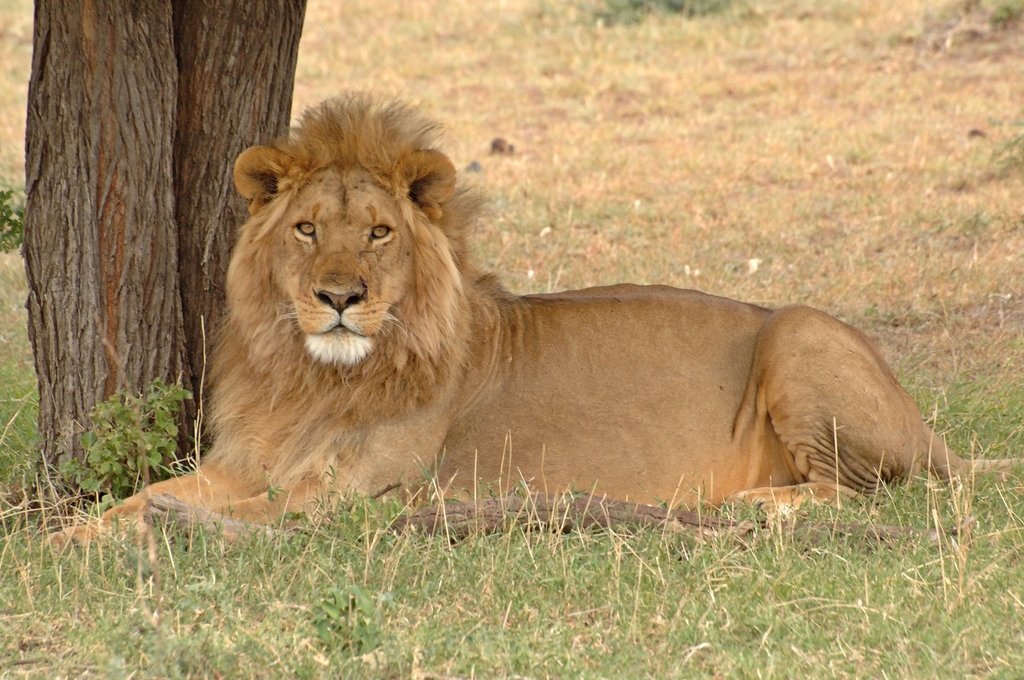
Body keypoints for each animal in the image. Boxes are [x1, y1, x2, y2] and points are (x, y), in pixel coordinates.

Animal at [50, 94, 1013, 546]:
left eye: (378, 233)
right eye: (307, 229)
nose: (339, 297)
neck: (311, 378)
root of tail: (930, 428)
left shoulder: (350, 497)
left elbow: (199, 517)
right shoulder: (241, 461)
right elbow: (139, 499)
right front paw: (59, 538)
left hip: (803, 332)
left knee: (869, 488)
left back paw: (754, 504)